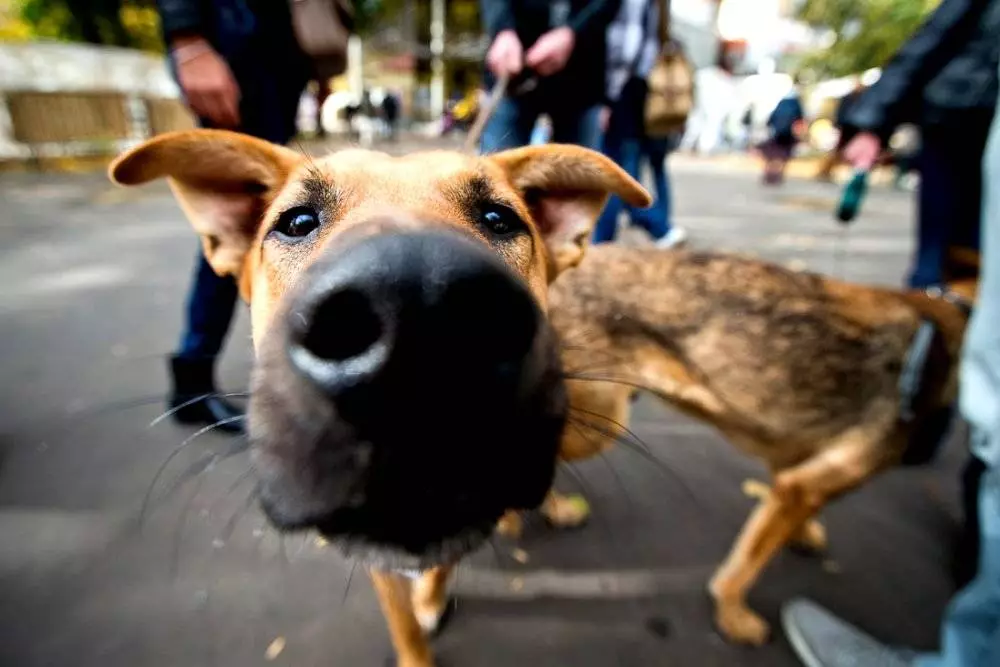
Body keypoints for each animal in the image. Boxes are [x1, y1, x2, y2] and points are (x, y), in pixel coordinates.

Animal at [536, 245, 972, 648]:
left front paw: (804, 534)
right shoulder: (802, 486)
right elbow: (745, 567)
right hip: (597, 423)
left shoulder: (794, 467)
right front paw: (733, 615)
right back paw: (550, 512)